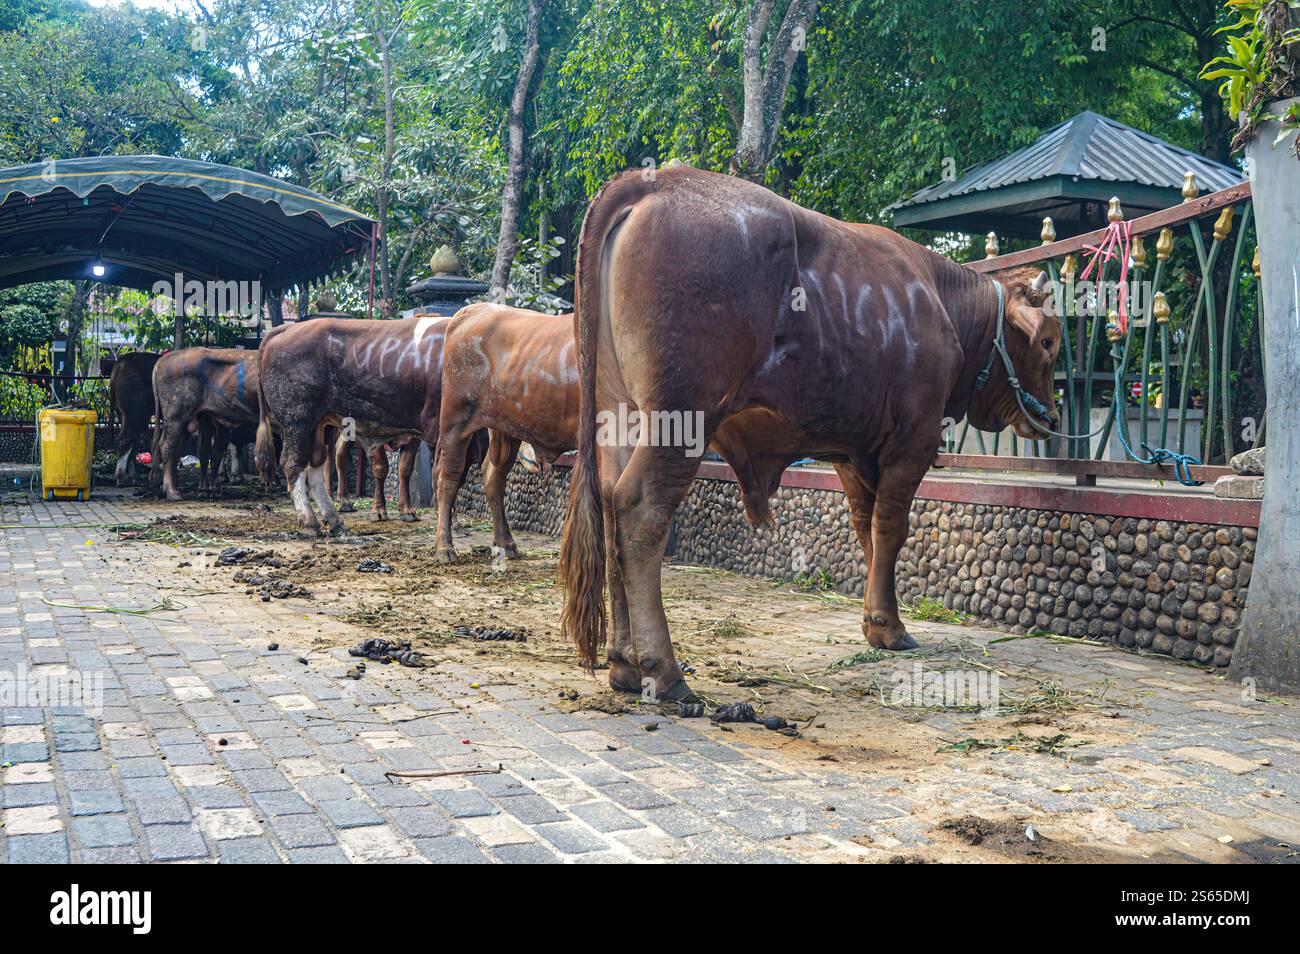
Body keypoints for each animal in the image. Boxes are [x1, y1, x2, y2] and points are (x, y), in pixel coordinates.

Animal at [109, 351, 160, 484]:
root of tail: (120, 363)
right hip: (133, 411)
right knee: (125, 439)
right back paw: (120, 477)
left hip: (123, 413)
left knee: (132, 440)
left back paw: (134, 477)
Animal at [152, 348, 267, 501]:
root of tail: (163, 359)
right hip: (175, 416)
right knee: (166, 447)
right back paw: (172, 492)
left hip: (186, 423)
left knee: (178, 451)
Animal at [255, 316, 453, 534]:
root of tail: (288, 328)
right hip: (298, 421)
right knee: (294, 464)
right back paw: (310, 521)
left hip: (318, 425)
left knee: (315, 464)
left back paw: (333, 518)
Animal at [432, 303, 579, 563]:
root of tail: (470, 310)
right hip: (454, 422)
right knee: (447, 480)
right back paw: (445, 548)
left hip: (505, 430)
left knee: (493, 478)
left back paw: (505, 542)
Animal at [558, 167, 1060, 700]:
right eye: (1049, 342)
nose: (1051, 417)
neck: (940, 299)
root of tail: (655, 179)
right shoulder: (913, 441)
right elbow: (892, 527)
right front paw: (891, 627)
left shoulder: (853, 452)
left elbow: (867, 529)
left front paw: (877, 619)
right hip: (679, 418)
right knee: (639, 509)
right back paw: (665, 671)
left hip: (620, 415)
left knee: (609, 505)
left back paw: (623, 665)